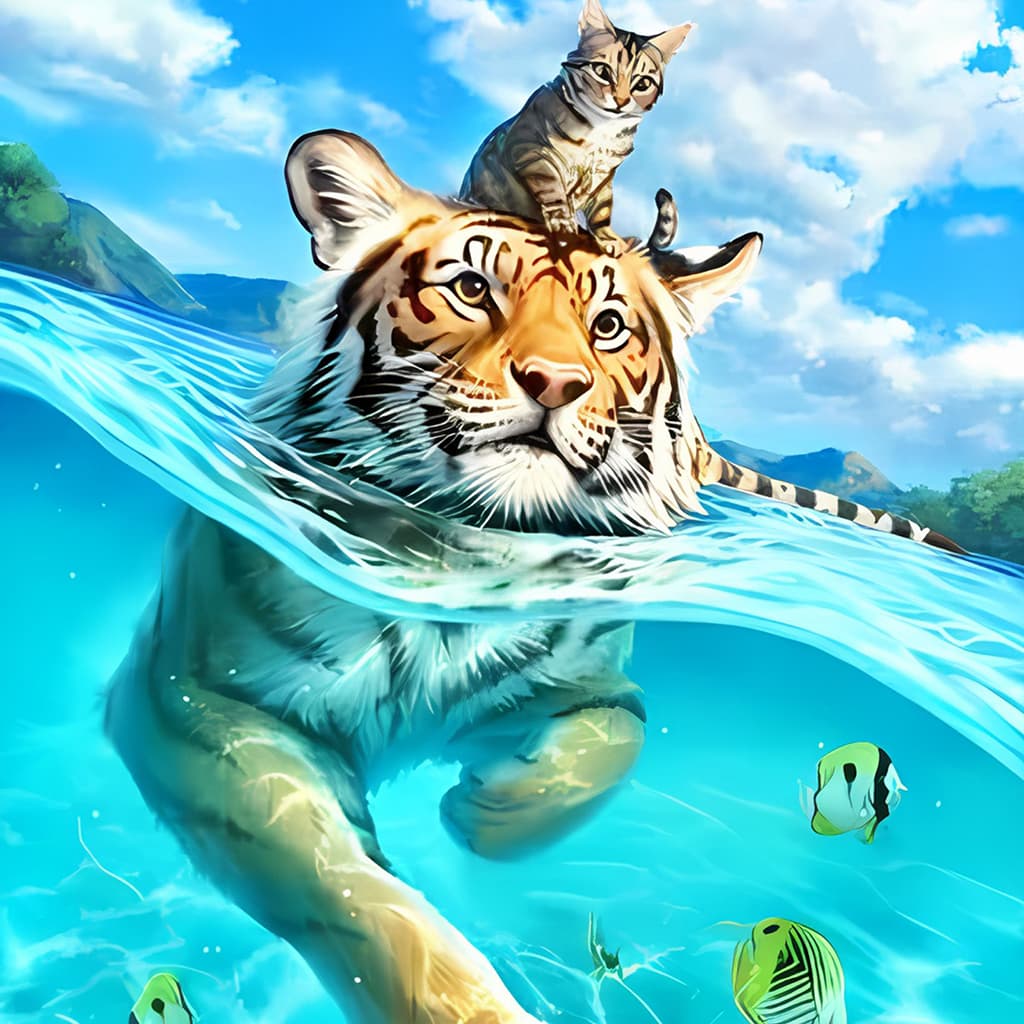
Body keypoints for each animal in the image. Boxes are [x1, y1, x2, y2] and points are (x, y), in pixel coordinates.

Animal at [104, 130, 962, 1024]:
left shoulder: (593, 687)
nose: (557, 382)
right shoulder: (194, 705)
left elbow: (608, 746)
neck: (459, 562)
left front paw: (485, 810)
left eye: (608, 326)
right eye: (472, 288)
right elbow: (351, 892)